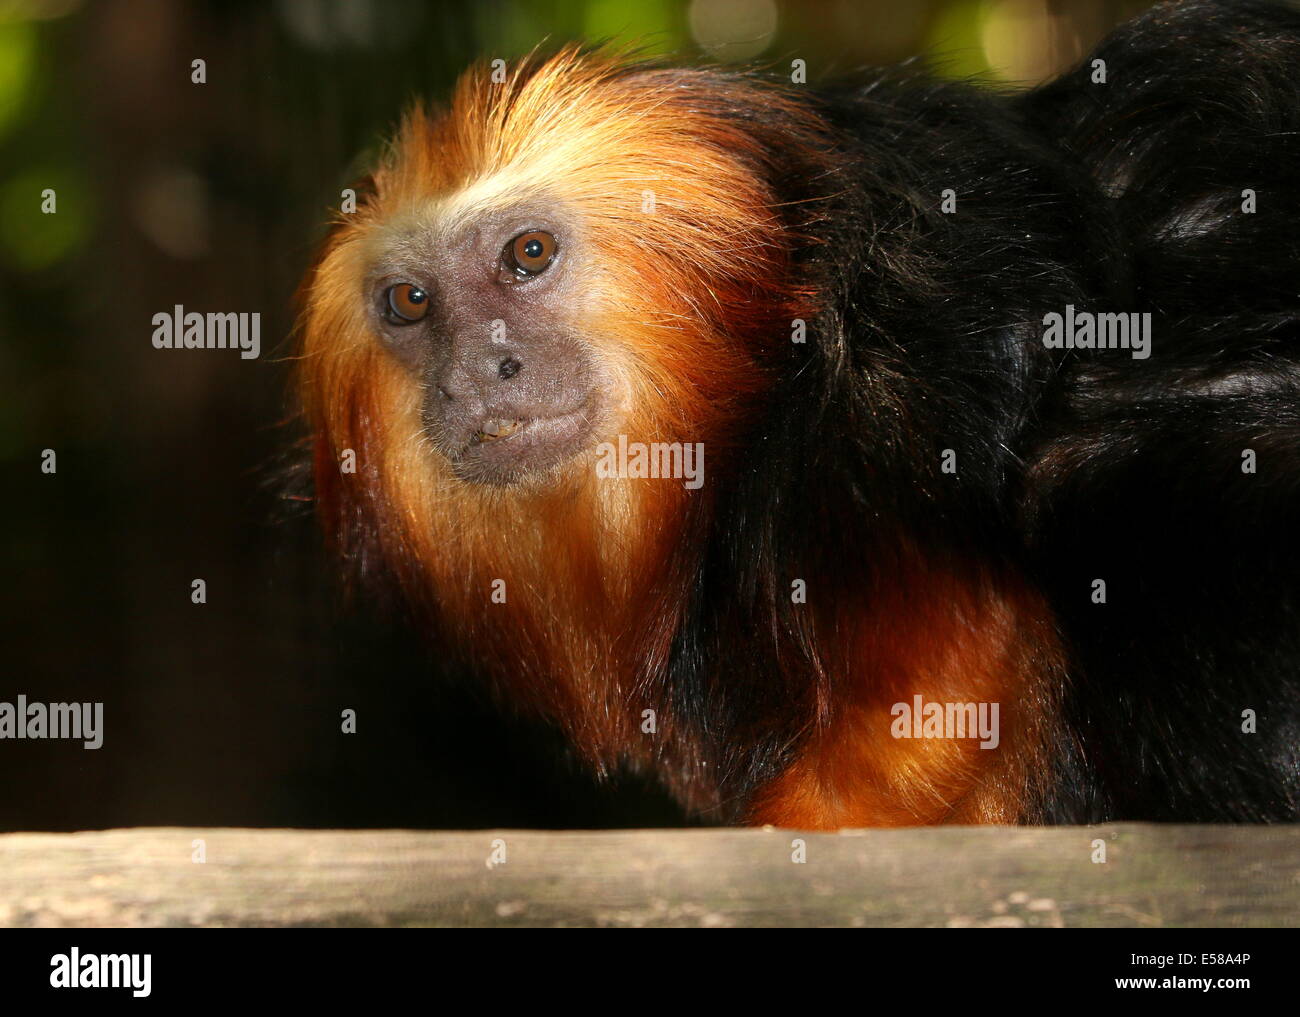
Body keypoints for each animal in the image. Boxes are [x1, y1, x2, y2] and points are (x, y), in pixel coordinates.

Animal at [296, 0, 1300, 828]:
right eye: (411, 304)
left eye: (529, 254)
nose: (478, 371)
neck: (766, 380)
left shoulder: (899, 375)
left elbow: (949, 693)